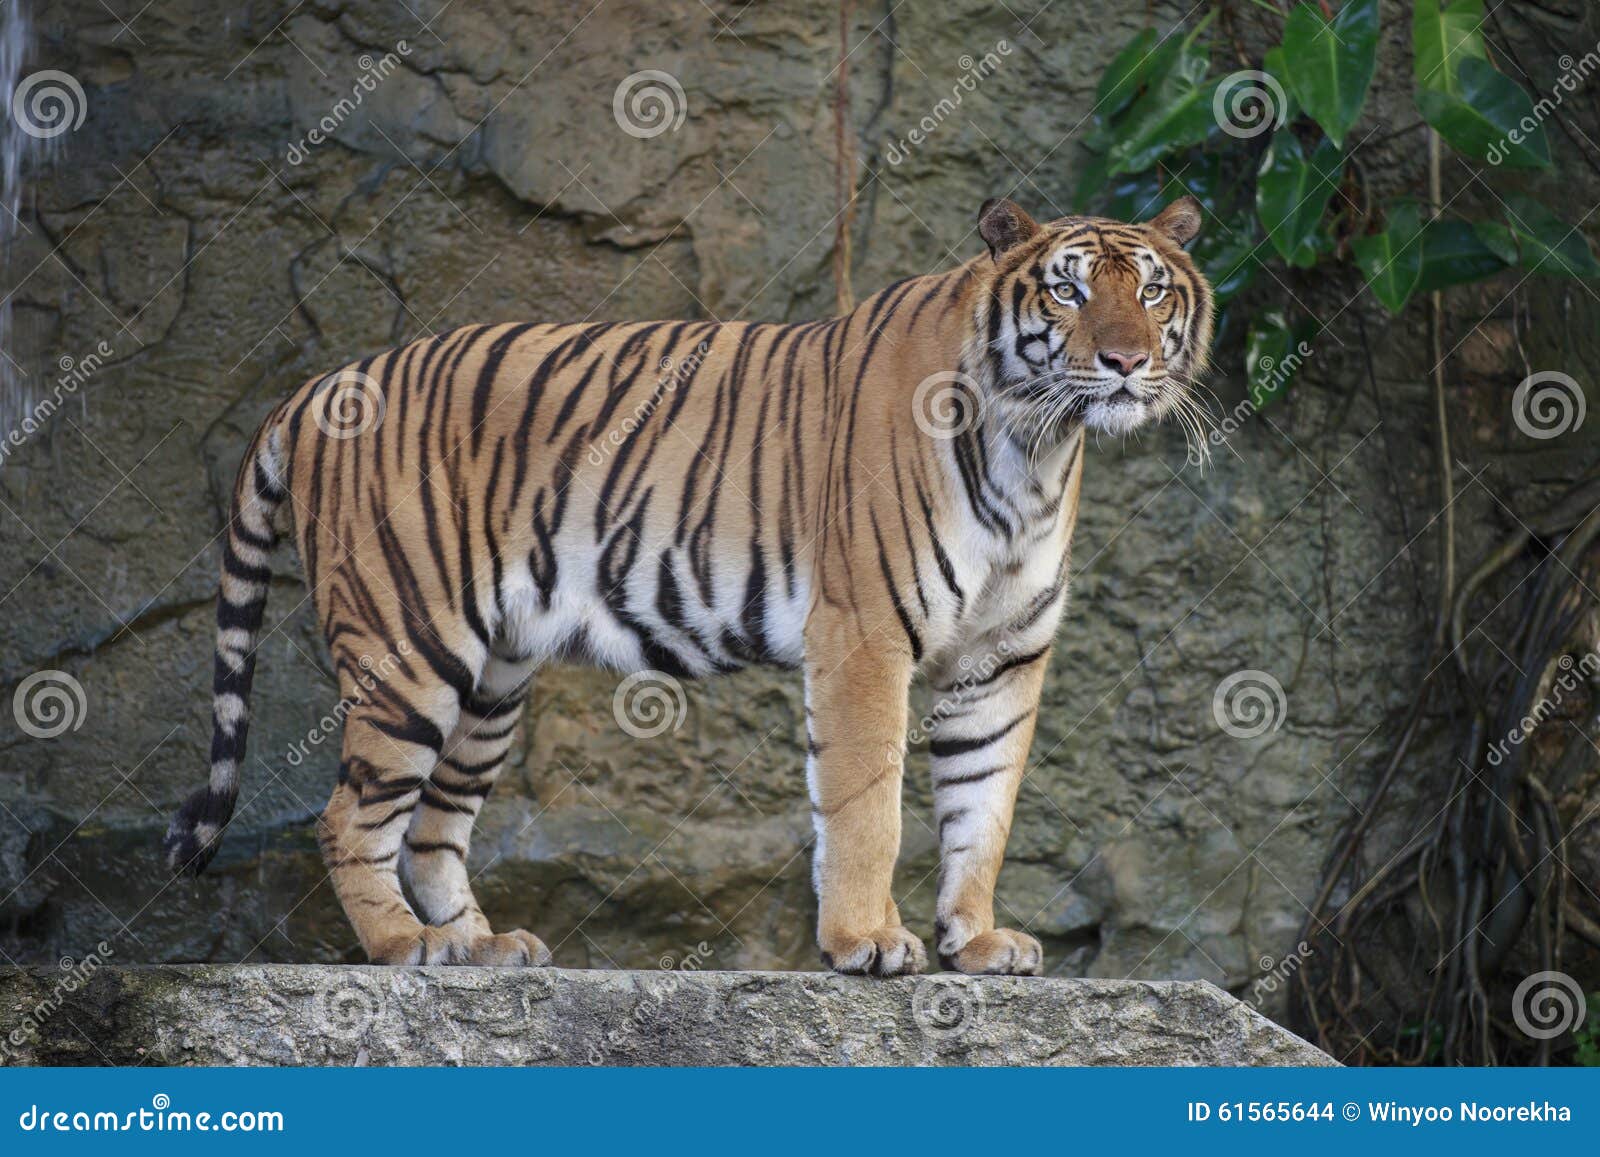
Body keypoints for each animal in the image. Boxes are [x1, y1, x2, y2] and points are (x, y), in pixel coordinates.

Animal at [165, 194, 1213, 976]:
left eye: (1153, 290)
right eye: (1067, 290)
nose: (1125, 361)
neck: (1038, 445)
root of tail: (321, 384)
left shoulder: (1002, 657)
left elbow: (983, 804)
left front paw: (980, 940)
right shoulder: (865, 634)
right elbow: (868, 802)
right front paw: (868, 940)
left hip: (492, 674)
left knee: (431, 824)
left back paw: (479, 947)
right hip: (411, 642)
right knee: (350, 816)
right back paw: (402, 948)